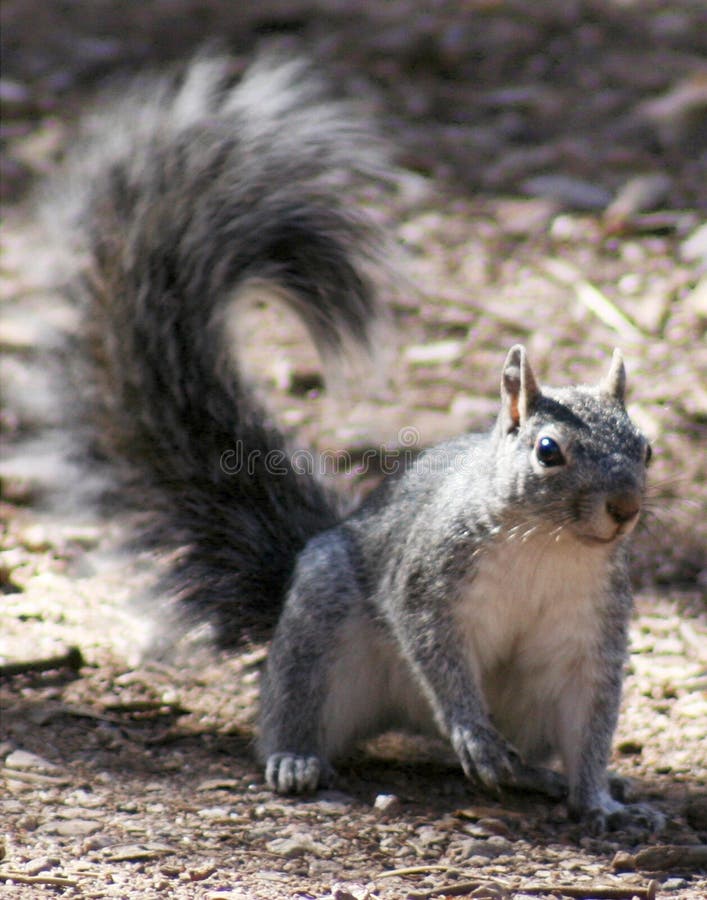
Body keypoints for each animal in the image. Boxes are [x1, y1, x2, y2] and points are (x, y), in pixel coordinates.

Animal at [45, 53, 660, 834]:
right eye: (548, 451)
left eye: (646, 449)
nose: (625, 509)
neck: (545, 547)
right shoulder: (428, 576)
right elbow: (433, 650)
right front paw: (470, 730)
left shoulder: (589, 635)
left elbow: (593, 719)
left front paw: (601, 800)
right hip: (323, 625)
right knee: (290, 711)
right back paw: (298, 758)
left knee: (526, 751)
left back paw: (536, 777)